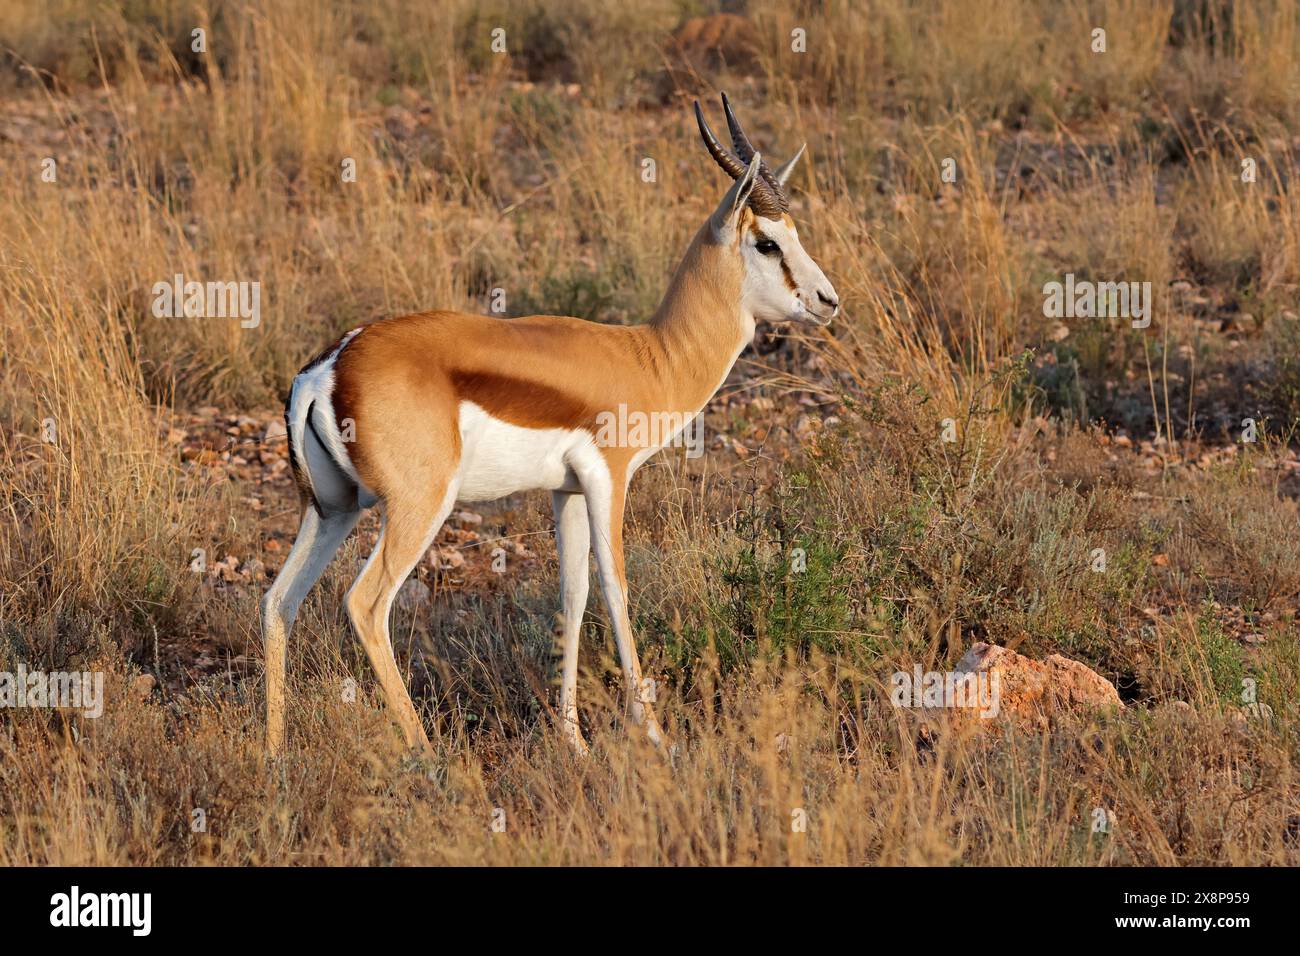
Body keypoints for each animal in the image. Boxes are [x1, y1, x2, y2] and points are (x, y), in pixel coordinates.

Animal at [262, 94, 839, 756]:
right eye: (767, 242)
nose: (828, 300)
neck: (651, 356)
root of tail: (331, 365)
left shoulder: (566, 491)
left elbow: (573, 594)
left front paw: (574, 741)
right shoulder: (609, 479)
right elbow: (614, 589)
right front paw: (656, 737)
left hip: (332, 510)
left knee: (278, 601)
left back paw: (274, 756)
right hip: (416, 507)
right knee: (365, 604)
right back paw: (426, 755)